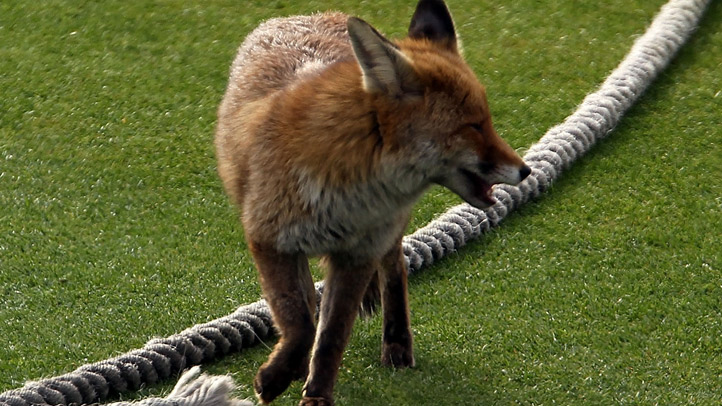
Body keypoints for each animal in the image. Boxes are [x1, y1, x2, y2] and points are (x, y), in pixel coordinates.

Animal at [215, 0, 531, 404]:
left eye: (487, 121)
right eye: (474, 126)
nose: (525, 170)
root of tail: (314, 14)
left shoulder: (358, 253)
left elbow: (331, 336)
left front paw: (316, 395)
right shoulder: (270, 240)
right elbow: (300, 324)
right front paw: (278, 375)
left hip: (388, 234)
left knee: (394, 270)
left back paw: (397, 342)